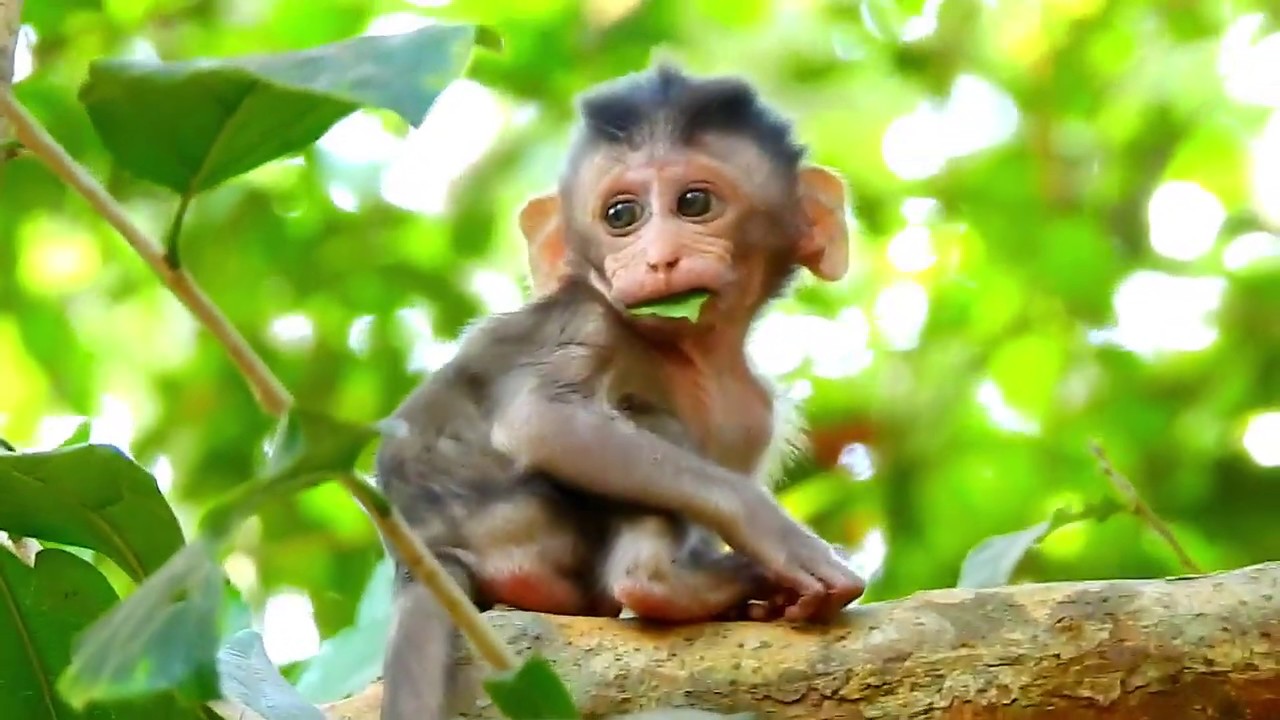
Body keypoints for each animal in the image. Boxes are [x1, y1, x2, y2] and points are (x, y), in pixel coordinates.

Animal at [375, 63, 864, 720]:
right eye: (621, 216)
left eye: (694, 203)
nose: (658, 259)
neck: (692, 354)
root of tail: (422, 553)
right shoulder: (587, 318)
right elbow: (540, 419)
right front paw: (774, 536)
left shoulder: (754, 410)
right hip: (521, 522)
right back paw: (667, 584)